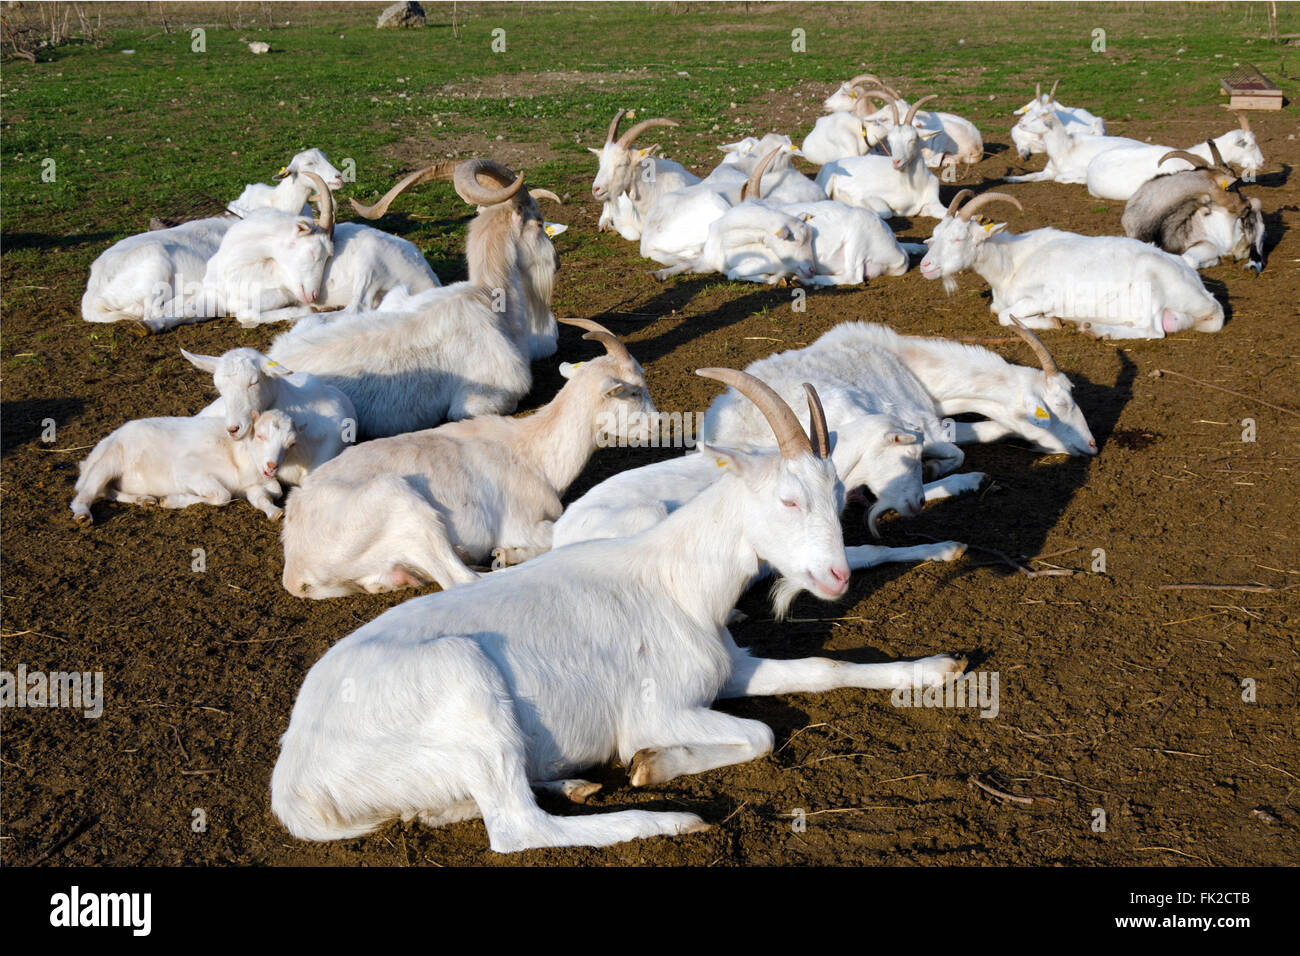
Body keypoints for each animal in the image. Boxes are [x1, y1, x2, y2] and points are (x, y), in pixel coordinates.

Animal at [70, 409, 296, 524]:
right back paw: (82, 514)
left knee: (109, 492)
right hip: (110, 459)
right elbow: (223, 496)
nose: (272, 466)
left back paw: (144, 499)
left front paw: (275, 512)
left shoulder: (253, 485)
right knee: (84, 493)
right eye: (260, 435)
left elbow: (266, 496)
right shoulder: (187, 468)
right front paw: (172, 500)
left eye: (291, 444)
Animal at [270, 368, 964, 850]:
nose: (837, 574)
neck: (676, 584)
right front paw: (652, 763)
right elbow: (759, 733)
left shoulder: (729, 668)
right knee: (519, 830)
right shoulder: (658, 705)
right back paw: (672, 820)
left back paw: (565, 782)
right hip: (462, 683)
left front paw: (936, 669)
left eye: (838, 490)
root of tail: (296, 784)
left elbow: (823, 669)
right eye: (790, 500)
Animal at [279, 320, 655, 598]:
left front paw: (507, 554)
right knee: (461, 581)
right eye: (634, 391)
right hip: (402, 506)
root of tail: (296, 563)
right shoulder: (523, 521)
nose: (659, 423)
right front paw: (509, 553)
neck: (534, 454)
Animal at [920, 190, 1224, 339]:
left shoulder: (1045, 296)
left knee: (1153, 330)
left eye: (958, 238)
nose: (925, 266)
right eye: (934, 235)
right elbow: (998, 309)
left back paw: (1097, 331)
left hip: (1149, 283)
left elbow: (1005, 316)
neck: (1012, 262)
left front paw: (1051, 321)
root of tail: (1207, 299)